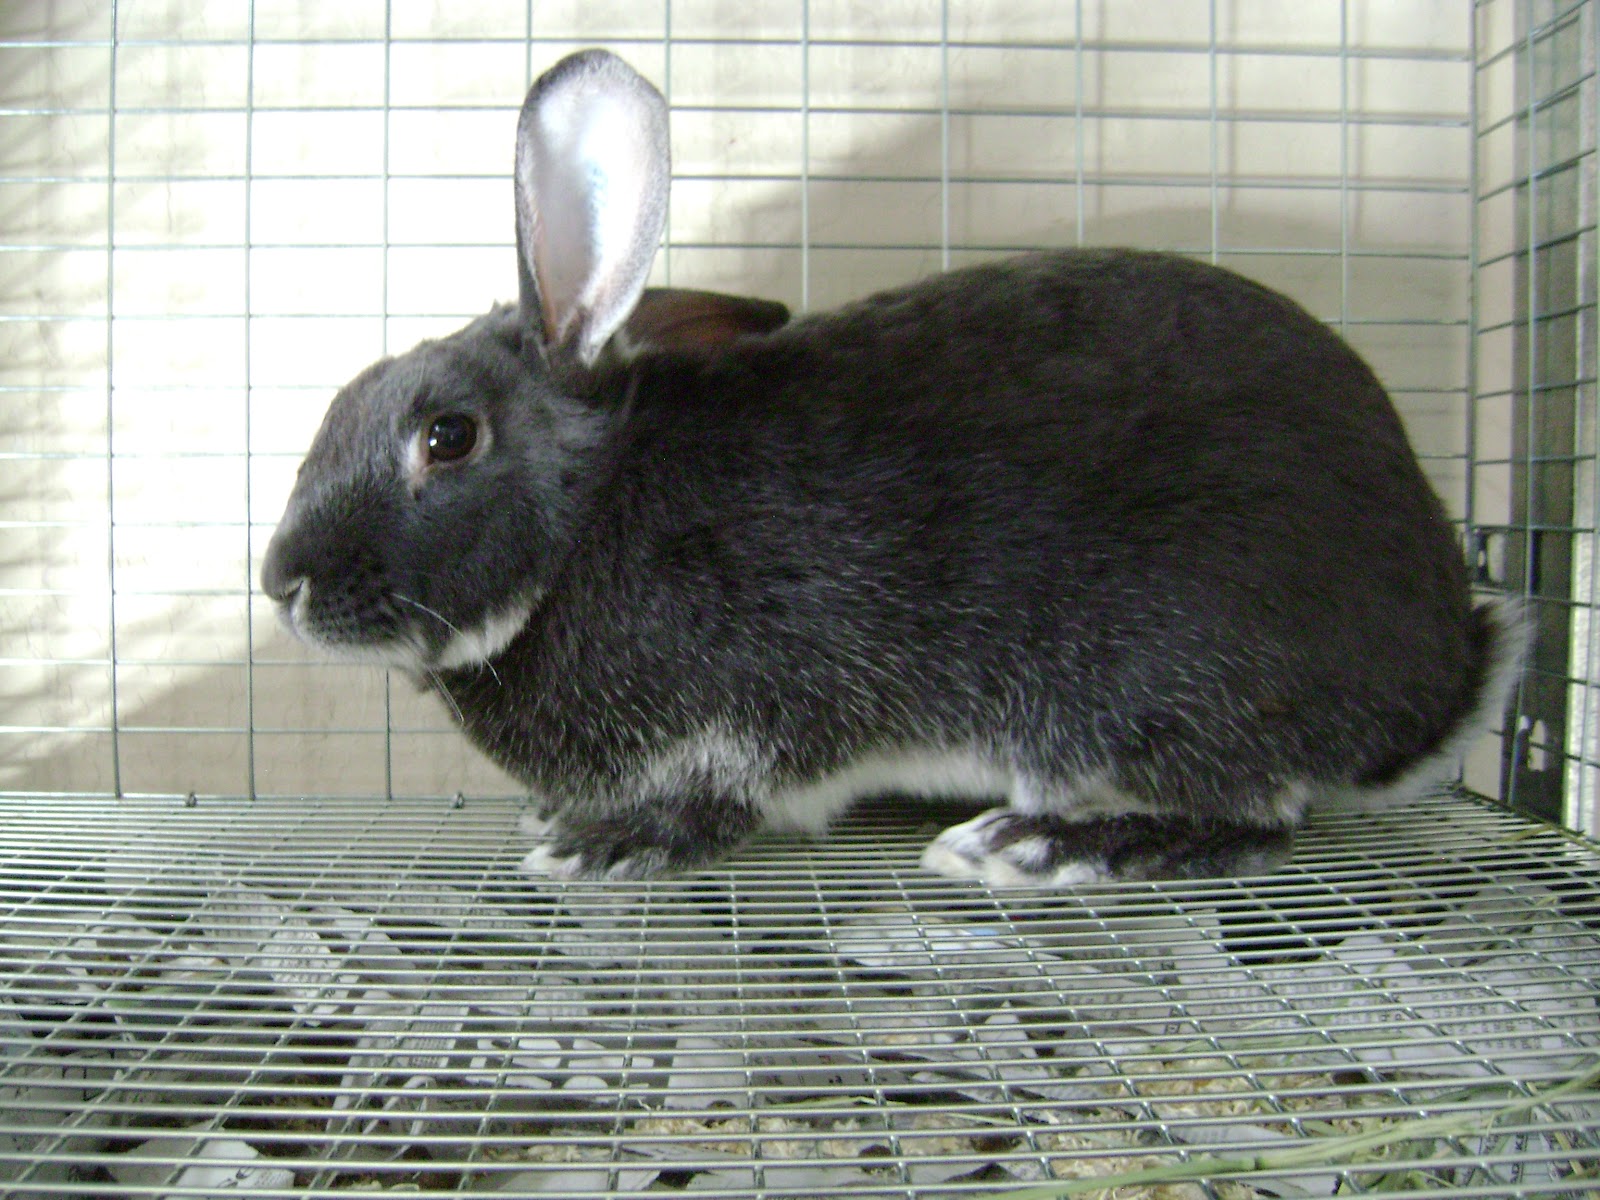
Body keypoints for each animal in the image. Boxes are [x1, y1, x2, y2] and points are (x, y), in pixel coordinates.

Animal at [261, 48, 1524, 887]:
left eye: (446, 436)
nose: (281, 583)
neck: (586, 525)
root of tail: (1434, 676)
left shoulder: (752, 704)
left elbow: (724, 799)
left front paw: (599, 841)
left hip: (1159, 675)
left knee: (1259, 812)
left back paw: (1042, 841)